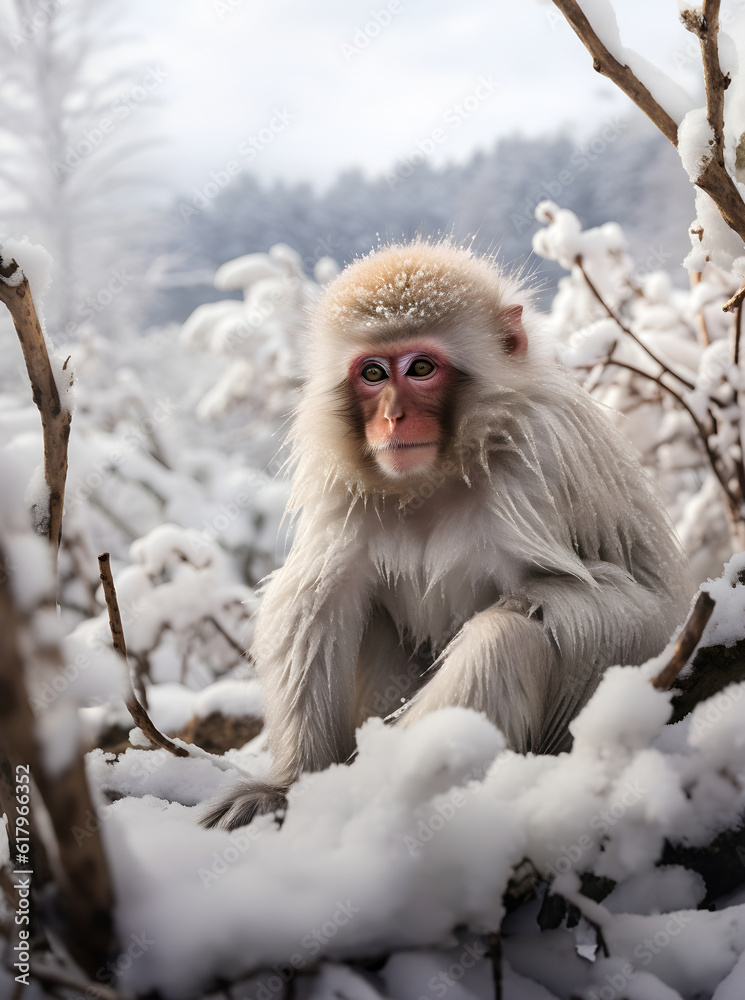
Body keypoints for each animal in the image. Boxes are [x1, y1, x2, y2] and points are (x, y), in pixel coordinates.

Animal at [201, 240, 691, 831]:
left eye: (420, 368)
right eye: (372, 373)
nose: (392, 416)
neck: (439, 475)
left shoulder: (541, 459)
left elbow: (632, 604)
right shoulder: (345, 490)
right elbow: (316, 598)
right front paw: (287, 785)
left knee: (510, 635)